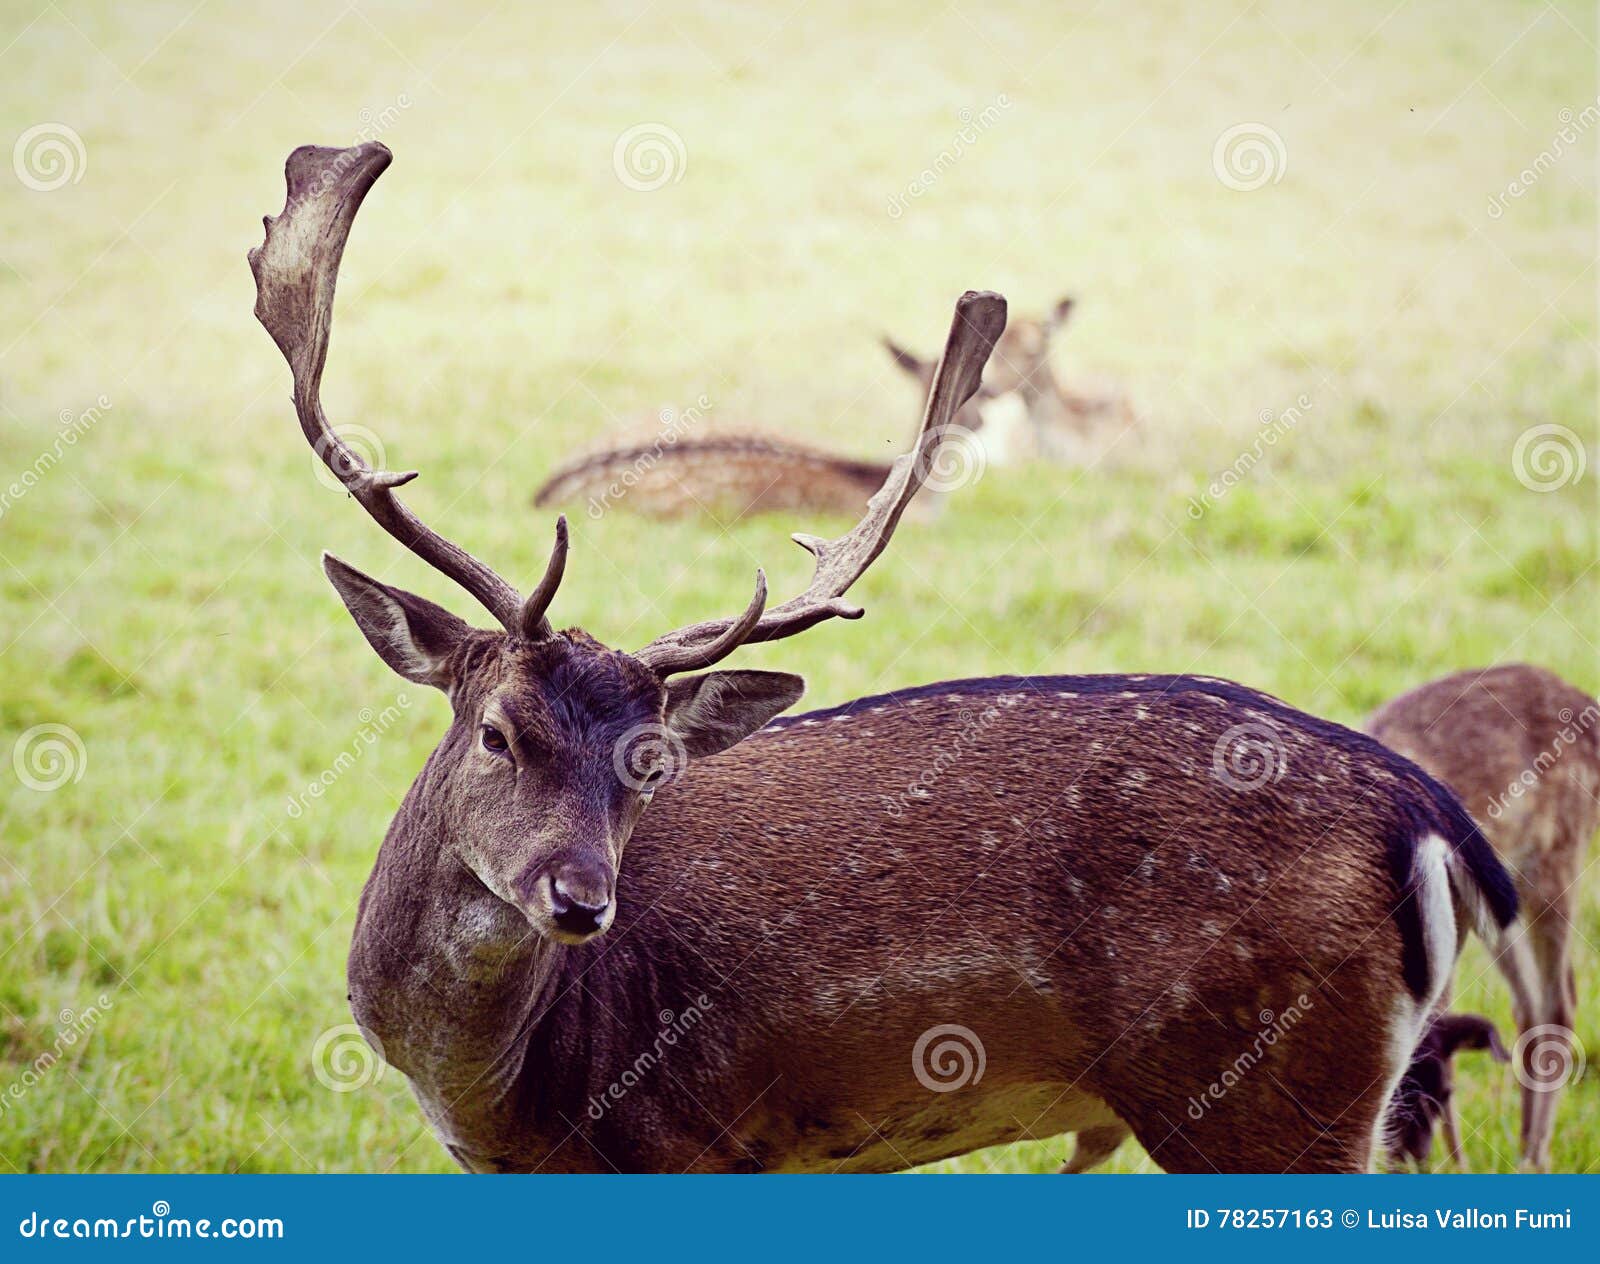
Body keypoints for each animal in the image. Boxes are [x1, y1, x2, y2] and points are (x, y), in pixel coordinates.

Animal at [252, 141, 1518, 1174]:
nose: (580, 898)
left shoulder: (684, 1139)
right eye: (497, 730)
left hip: (1267, 1092)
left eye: (649, 762)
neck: (495, 1099)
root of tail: (1427, 813)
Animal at [1367, 664, 1600, 1170]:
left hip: (1557, 860)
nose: (1411, 1158)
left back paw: (1534, 1156)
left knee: (1560, 1000)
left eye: (1444, 1095)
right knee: (1529, 1004)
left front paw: (1457, 1162)